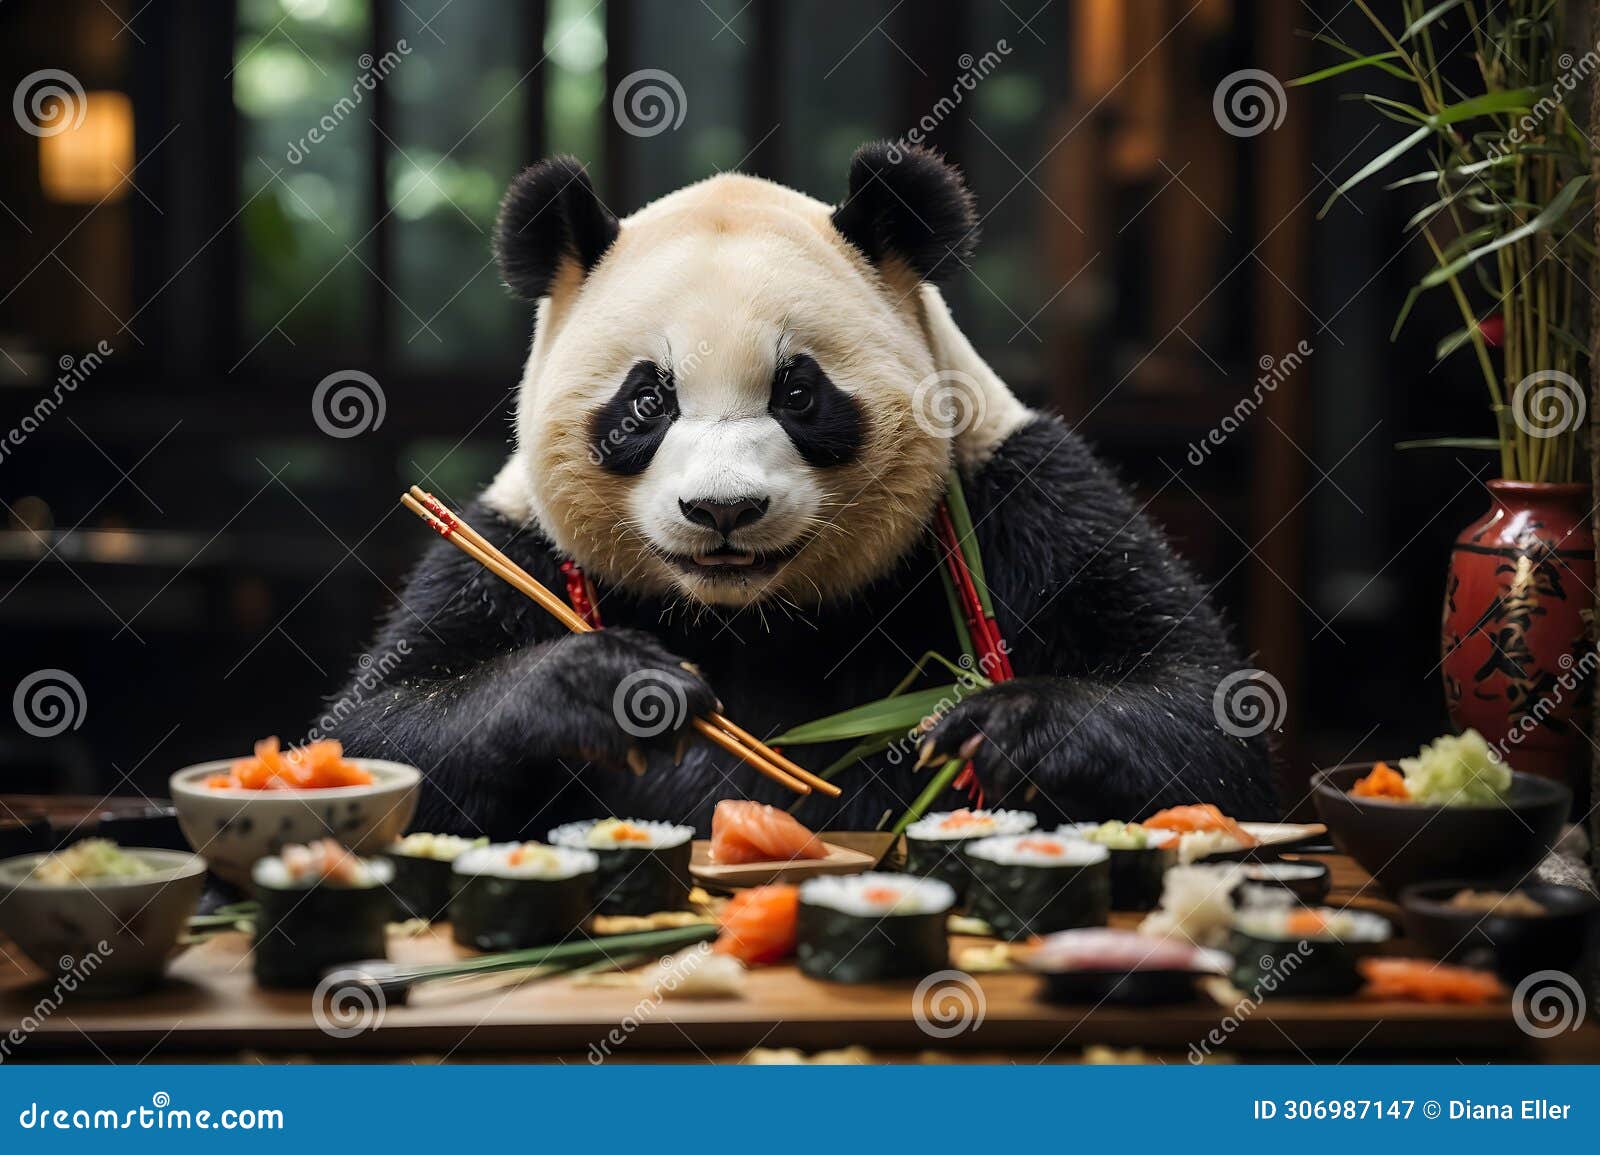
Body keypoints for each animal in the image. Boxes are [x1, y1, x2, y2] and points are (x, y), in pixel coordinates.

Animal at [327, 143, 1276, 838]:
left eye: (797, 391)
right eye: (648, 400)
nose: (723, 510)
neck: (750, 614)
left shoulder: (1017, 492)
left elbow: (1204, 709)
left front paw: (1005, 725)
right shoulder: (512, 543)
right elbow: (379, 725)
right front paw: (617, 688)